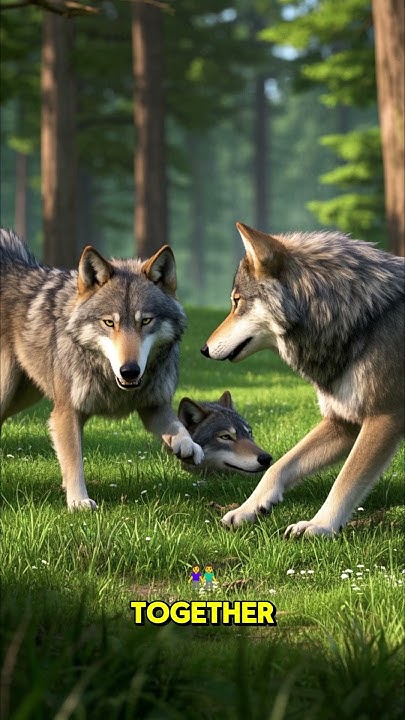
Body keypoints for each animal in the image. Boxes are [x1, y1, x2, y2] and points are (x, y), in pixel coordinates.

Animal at [0, 228, 203, 510]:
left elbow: (176, 426)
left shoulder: (152, 405)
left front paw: (188, 445)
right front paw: (78, 501)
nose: (129, 371)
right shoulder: (66, 412)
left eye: (146, 321)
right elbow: (74, 461)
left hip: (23, 396)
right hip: (7, 391)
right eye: (109, 323)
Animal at [201, 222, 404, 537]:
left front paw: (320, 525)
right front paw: (248, 509)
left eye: (237, 302)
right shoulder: (343, 422)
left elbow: (345, 480)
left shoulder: (383, 418)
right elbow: (279, 466)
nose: (203, 349)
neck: (362, 320)